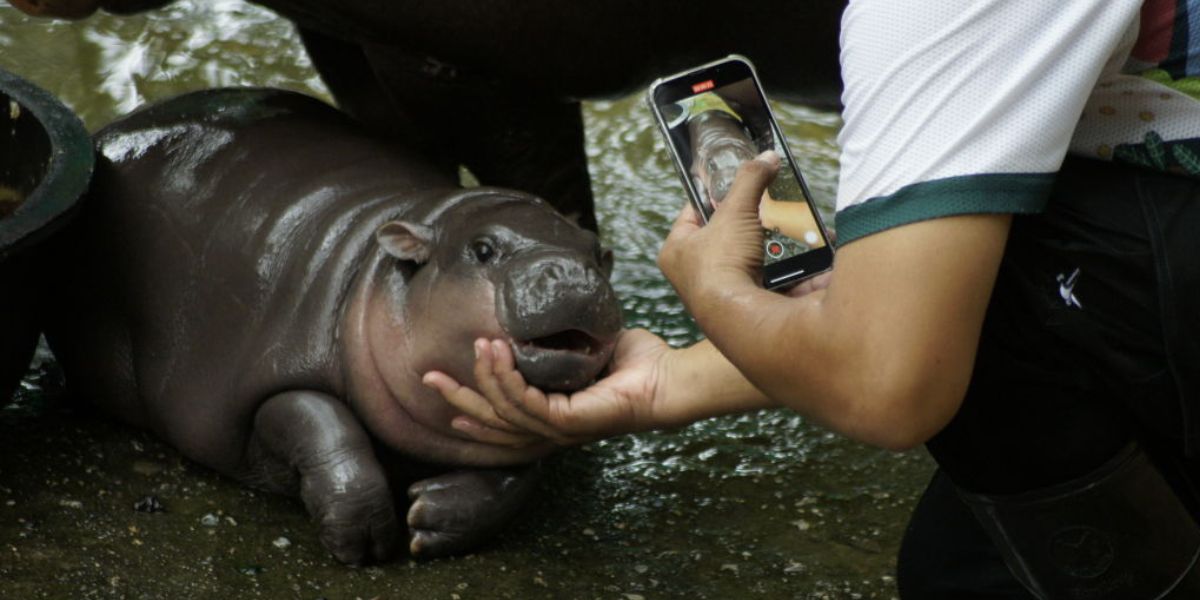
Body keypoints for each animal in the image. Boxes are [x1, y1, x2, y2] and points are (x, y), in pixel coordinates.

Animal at [41, 87, 623, 563]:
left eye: (599, 252)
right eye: (483, 250)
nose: (569, 271)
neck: (374, 265)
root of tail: (110, 134)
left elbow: (514, 478)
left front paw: (430, 521)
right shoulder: (273, 379)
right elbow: (326, 429)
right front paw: (364, 543)